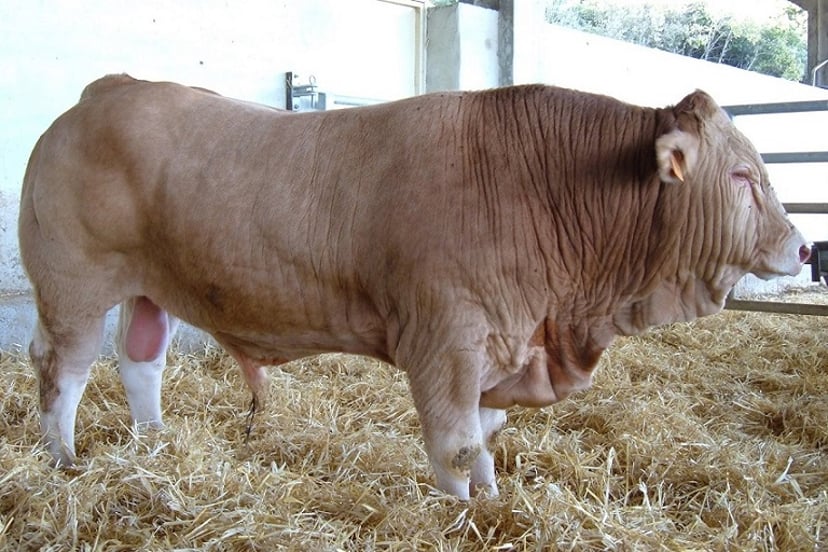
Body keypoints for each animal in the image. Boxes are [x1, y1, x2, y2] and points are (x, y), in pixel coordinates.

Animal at [18, 74, 810, 500]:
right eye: (742, 175)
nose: (803, 245)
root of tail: (110, 88)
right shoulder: (447, 343)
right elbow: (455, 445)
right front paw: (461, 513)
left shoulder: (502, 347)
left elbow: (485, 440)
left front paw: (492, 502)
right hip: (72, 284)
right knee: (63, 369)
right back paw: (63, 460)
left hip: (149, 288)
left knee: (140, 360)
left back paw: (154, 447)